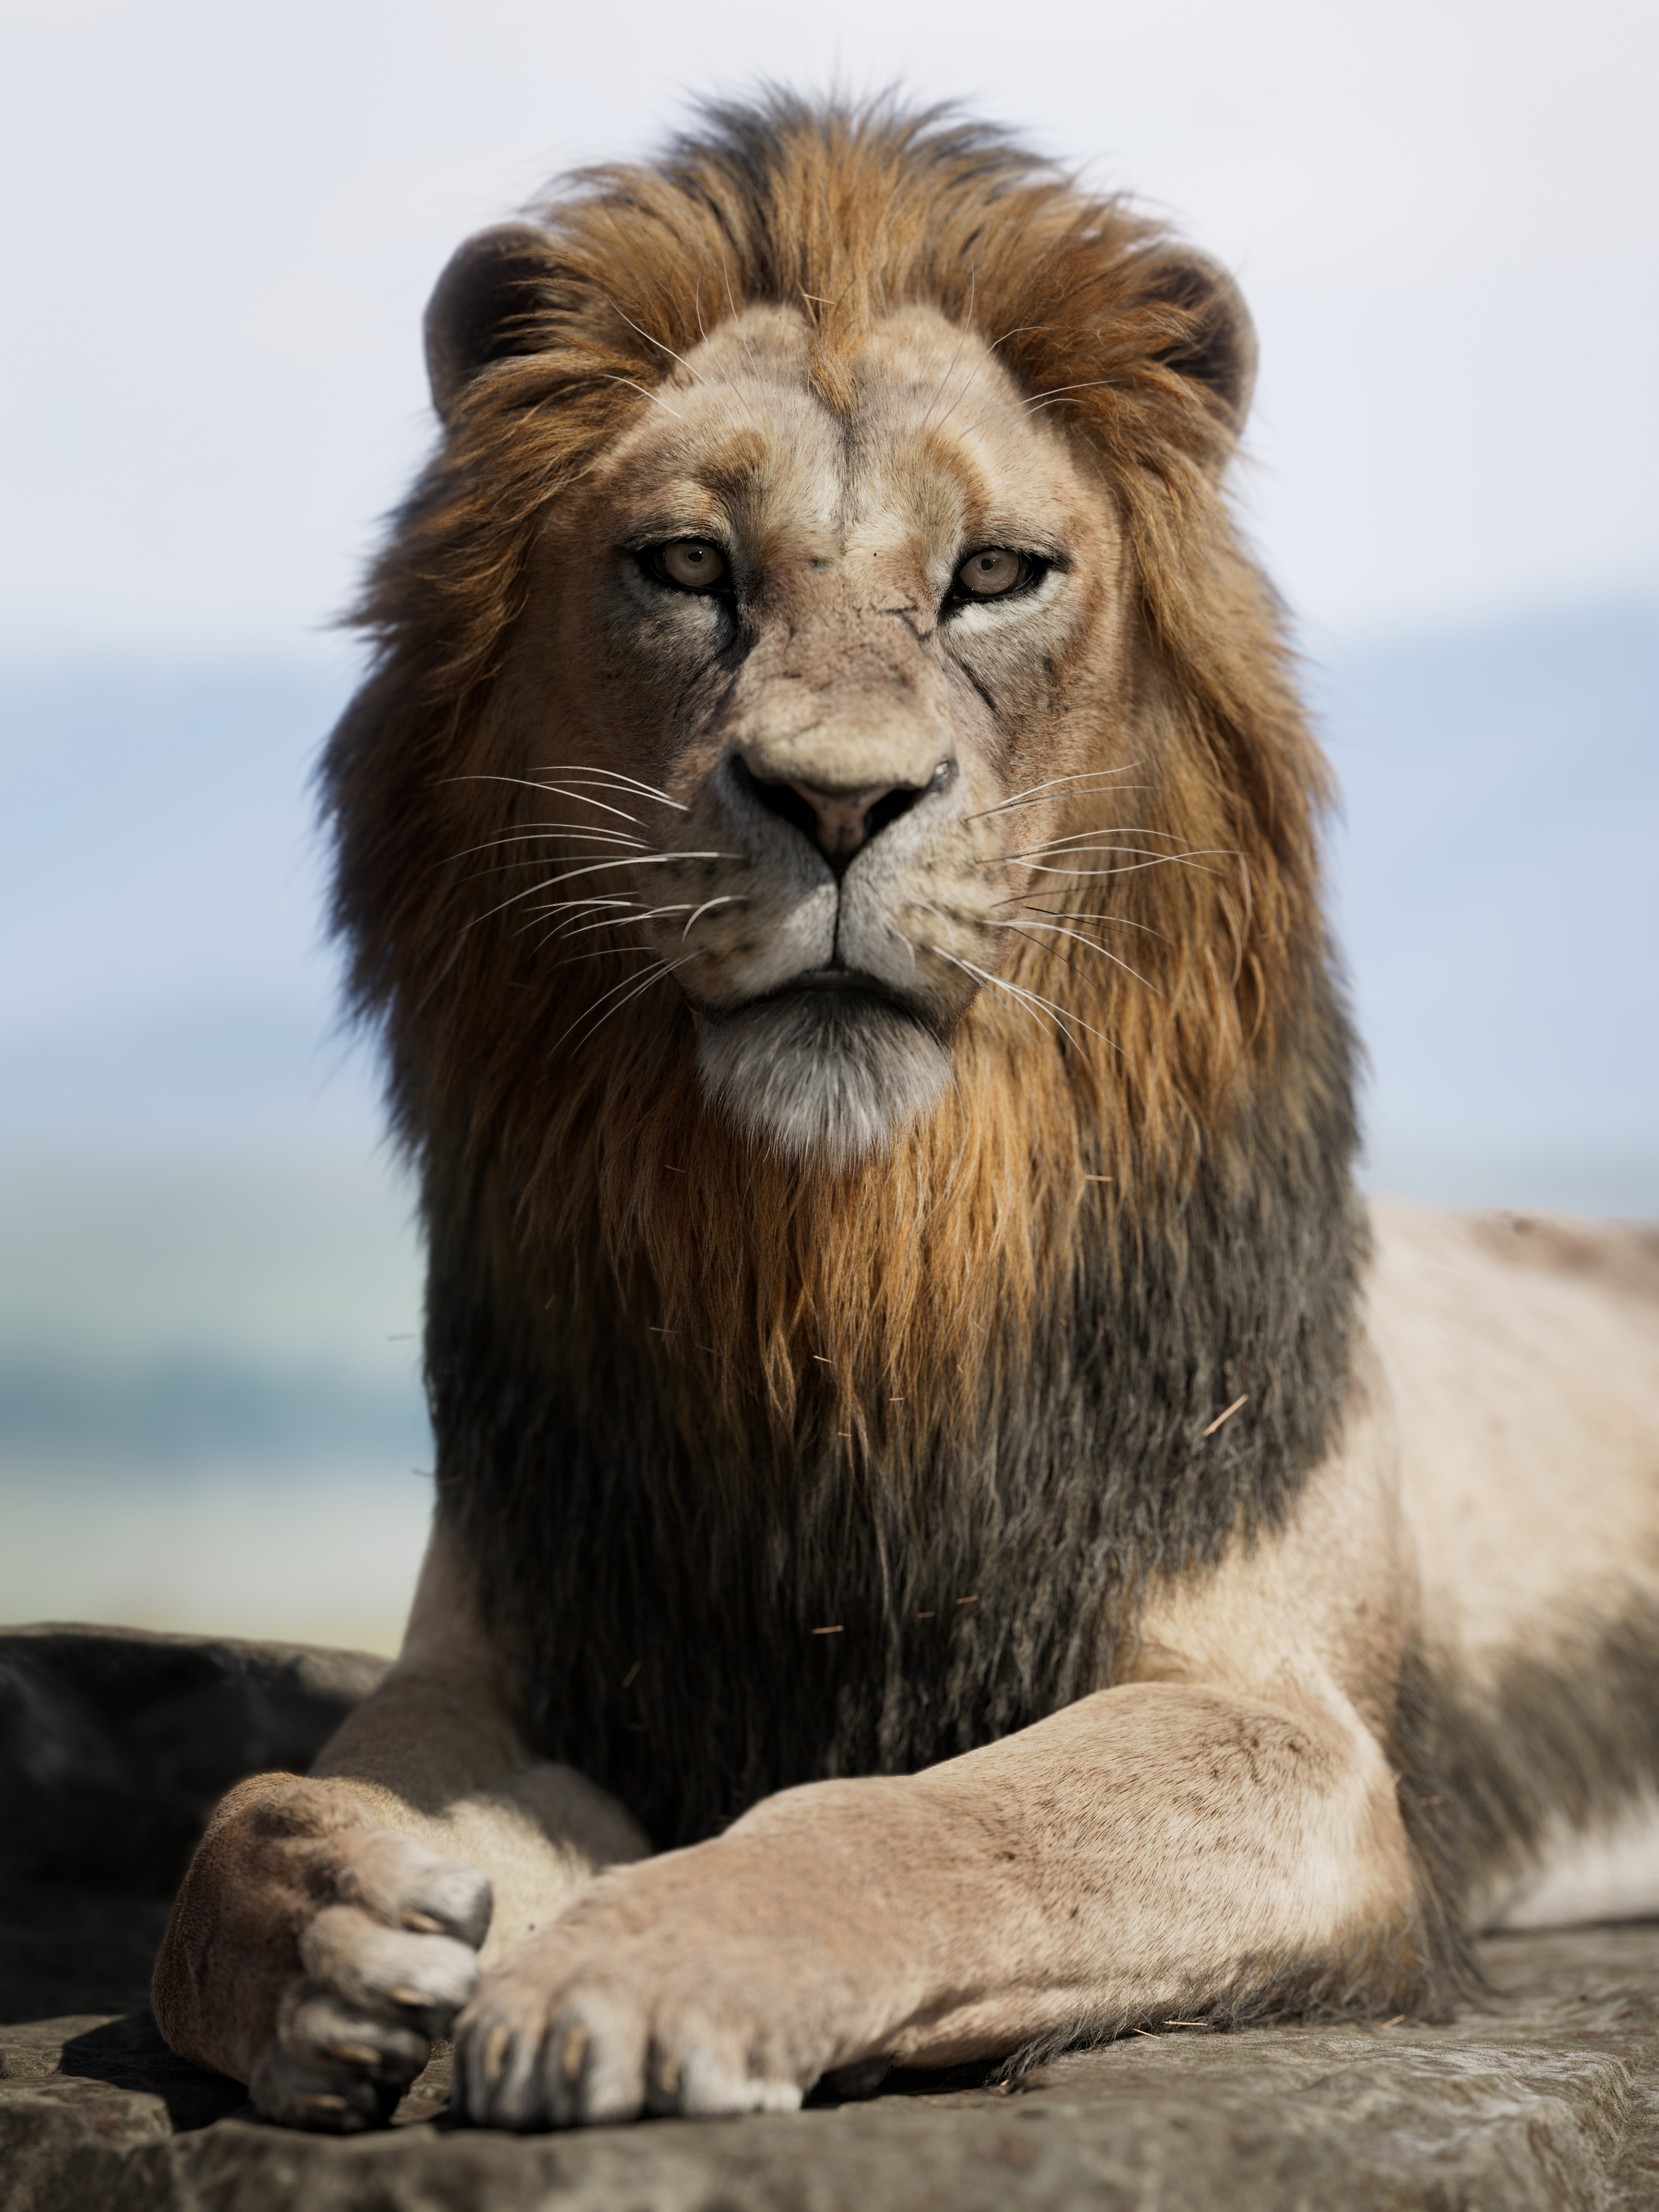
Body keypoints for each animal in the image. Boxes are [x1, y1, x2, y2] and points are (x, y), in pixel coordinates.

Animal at [152, 97, 1659, 2132]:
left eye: (995, 576)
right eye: (687, 567)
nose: (836, 803)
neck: (849, 1267)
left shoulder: (1296, 1740)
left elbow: (916, 1821)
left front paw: (641, 1967)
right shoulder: (500, 1639)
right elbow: (255, 1812)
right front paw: (337, 1921)